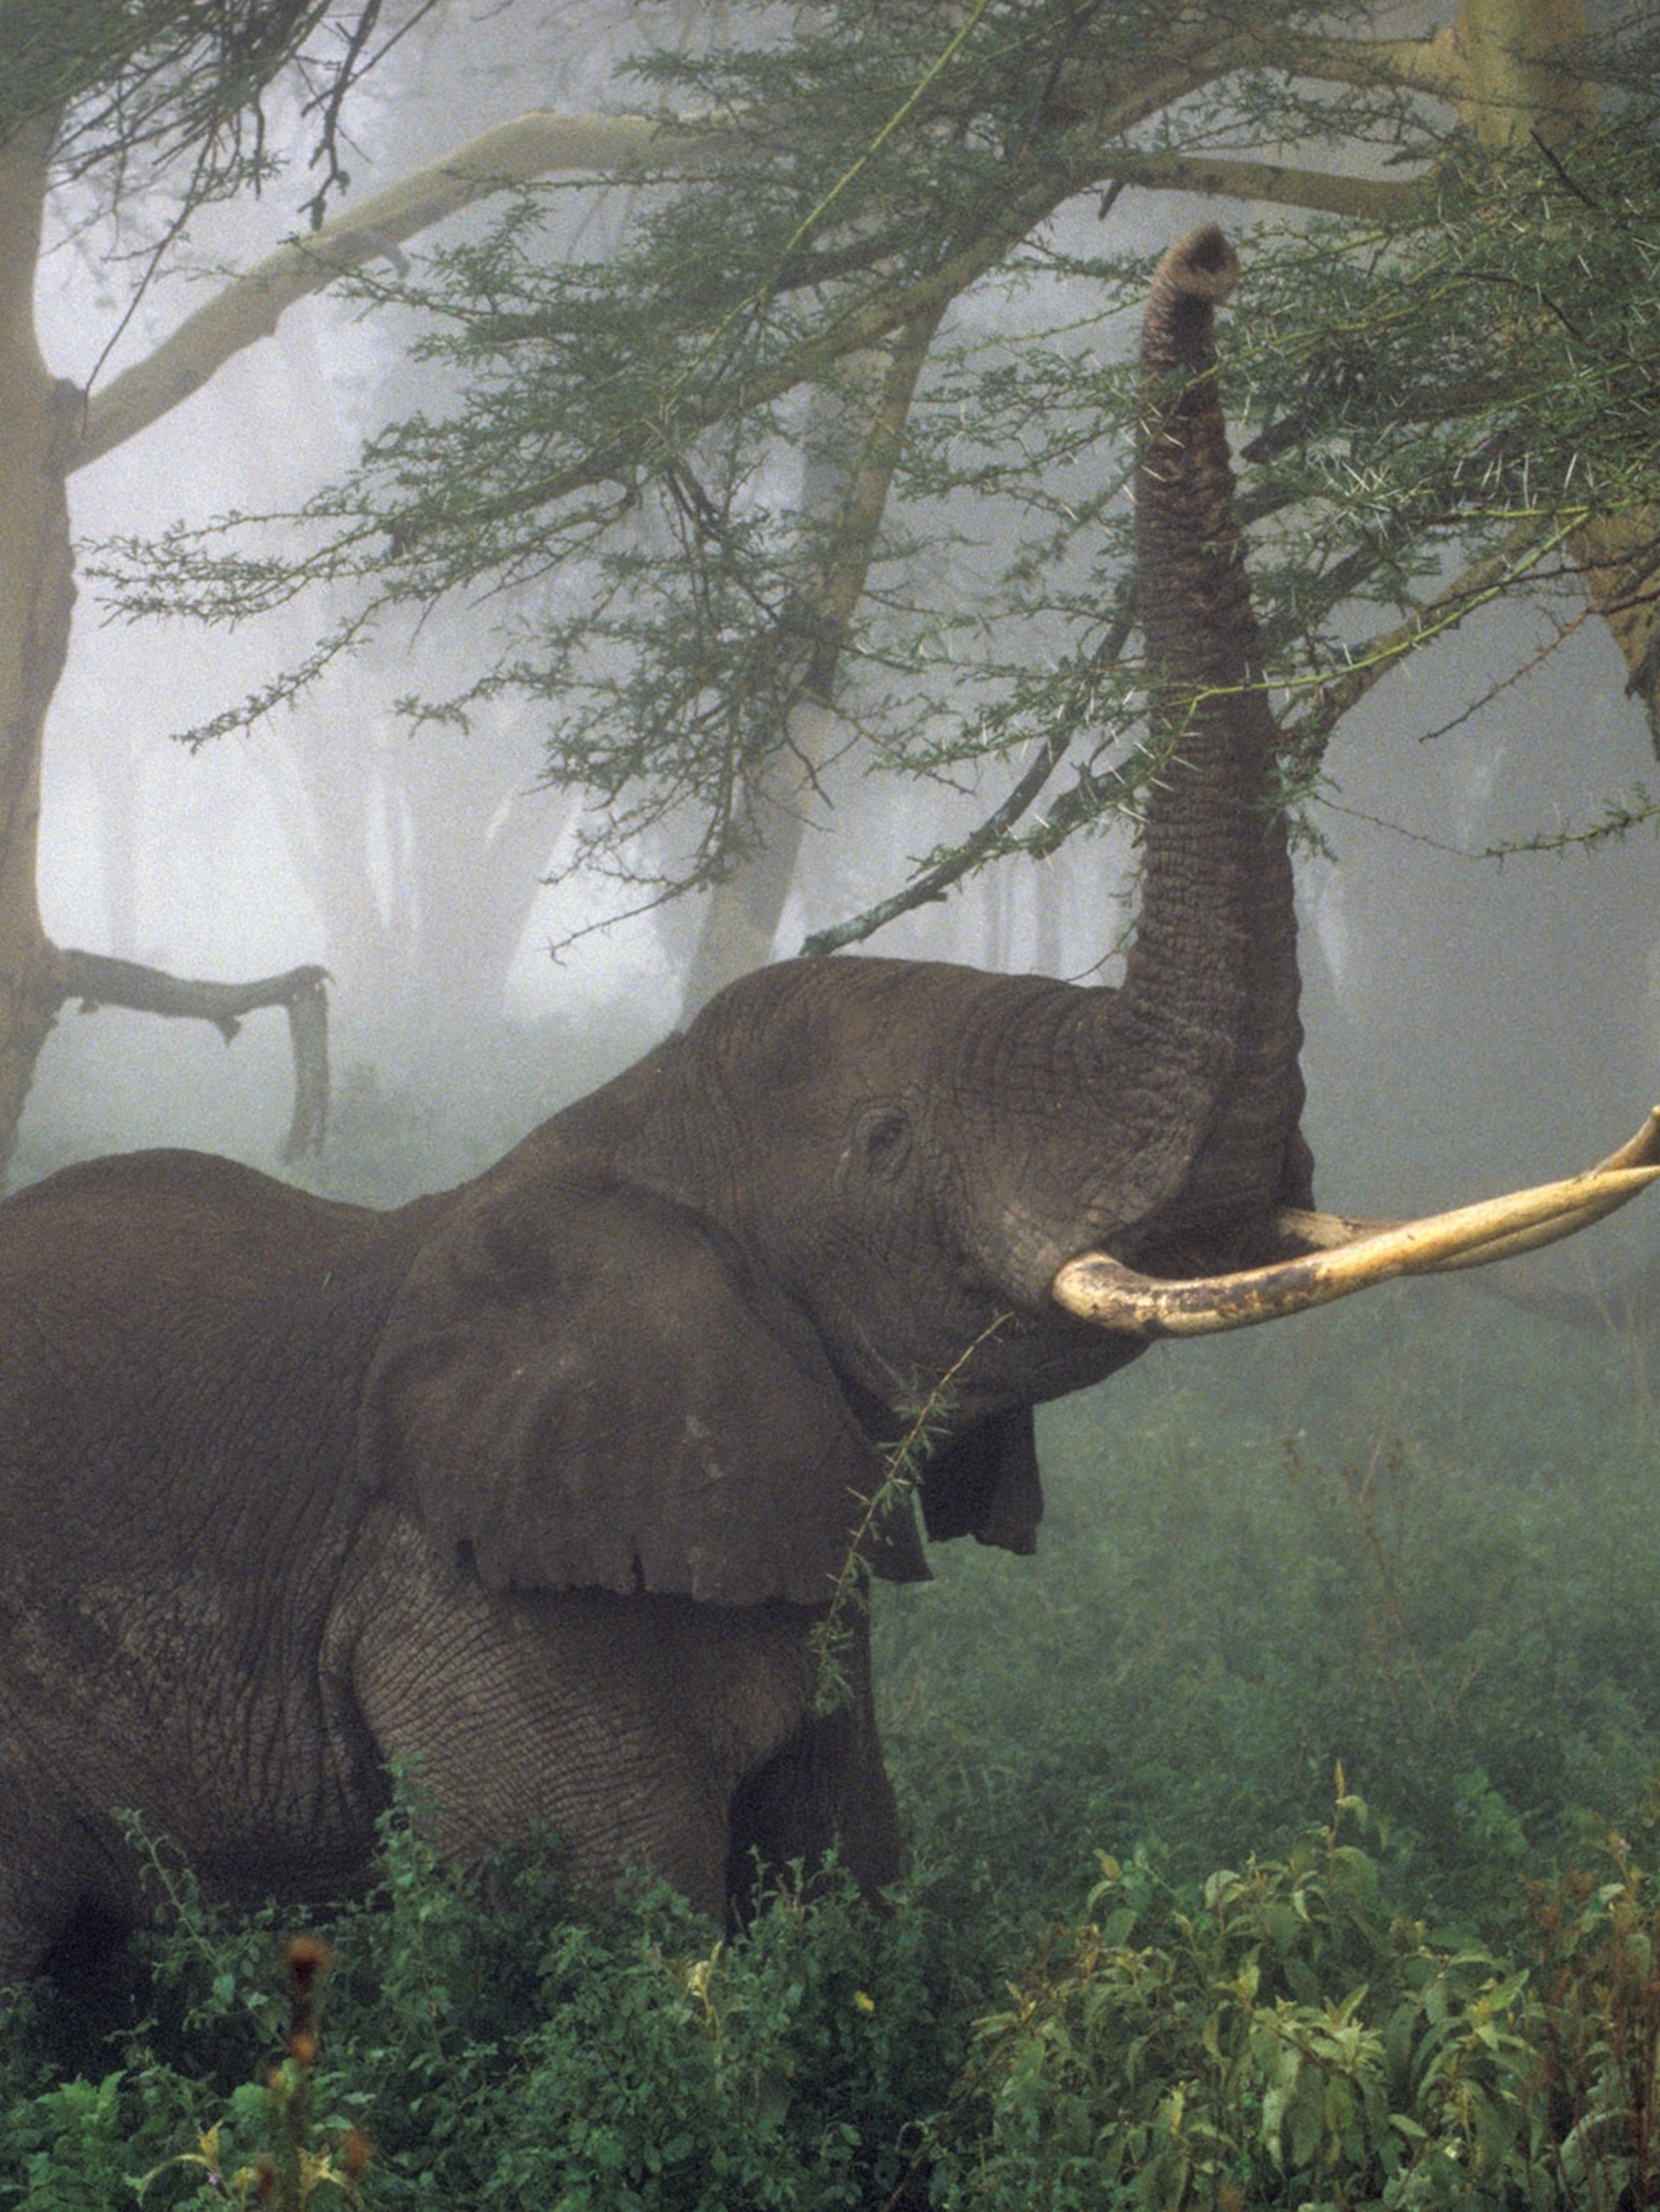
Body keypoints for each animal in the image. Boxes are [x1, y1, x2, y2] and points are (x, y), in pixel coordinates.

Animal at [0, 227, 1652, 1985]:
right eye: (885, 1145)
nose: (1208, 252)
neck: (618, 1133)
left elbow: (851, 1869)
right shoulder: (467, 1580)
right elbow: (614, 1922)